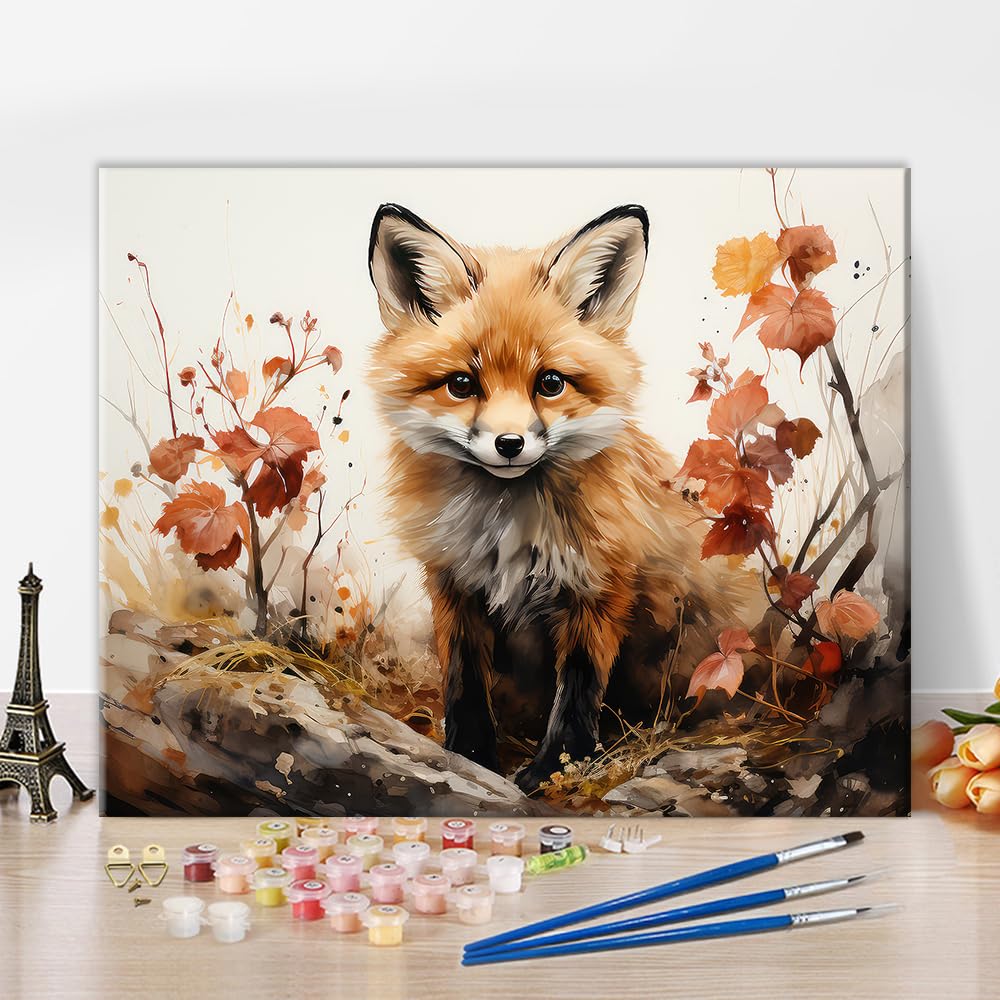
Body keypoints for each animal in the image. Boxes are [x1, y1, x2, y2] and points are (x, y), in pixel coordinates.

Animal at [367, 202, 759, 791]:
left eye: (550, 383)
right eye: (461, 384)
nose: (509, 444)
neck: (505, 530)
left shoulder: (597, 587)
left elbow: (577, 689)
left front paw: (553, 769)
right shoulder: (454, 584)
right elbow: (463, 681)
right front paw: (470, 756)